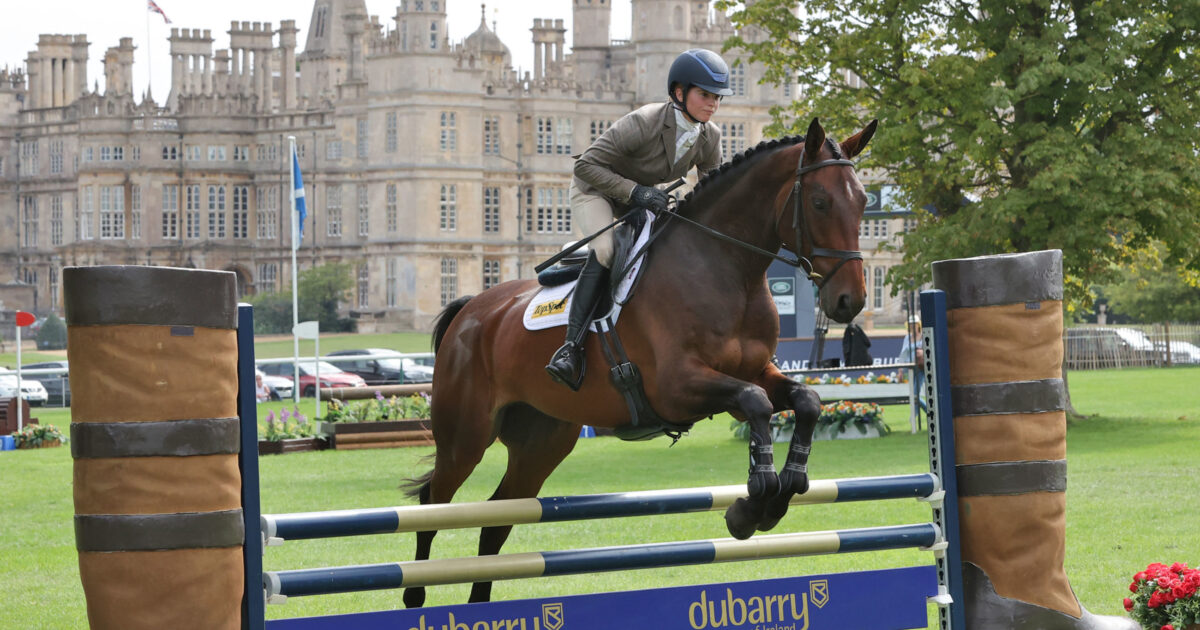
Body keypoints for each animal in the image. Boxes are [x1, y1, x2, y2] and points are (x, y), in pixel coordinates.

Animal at [401, 117, 877, 607]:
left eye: (863, 202)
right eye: (820, 202)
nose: (850, 301)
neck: (726, 268)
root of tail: (472, 310)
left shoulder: (755, 373)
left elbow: (805, 402)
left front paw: (781, 493)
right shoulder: (677, 387)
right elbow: (756, 403)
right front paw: (752, 504)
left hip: (541, 440)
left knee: (498, 516)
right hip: (465, 437)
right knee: (433, 503)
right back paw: (414, 595)